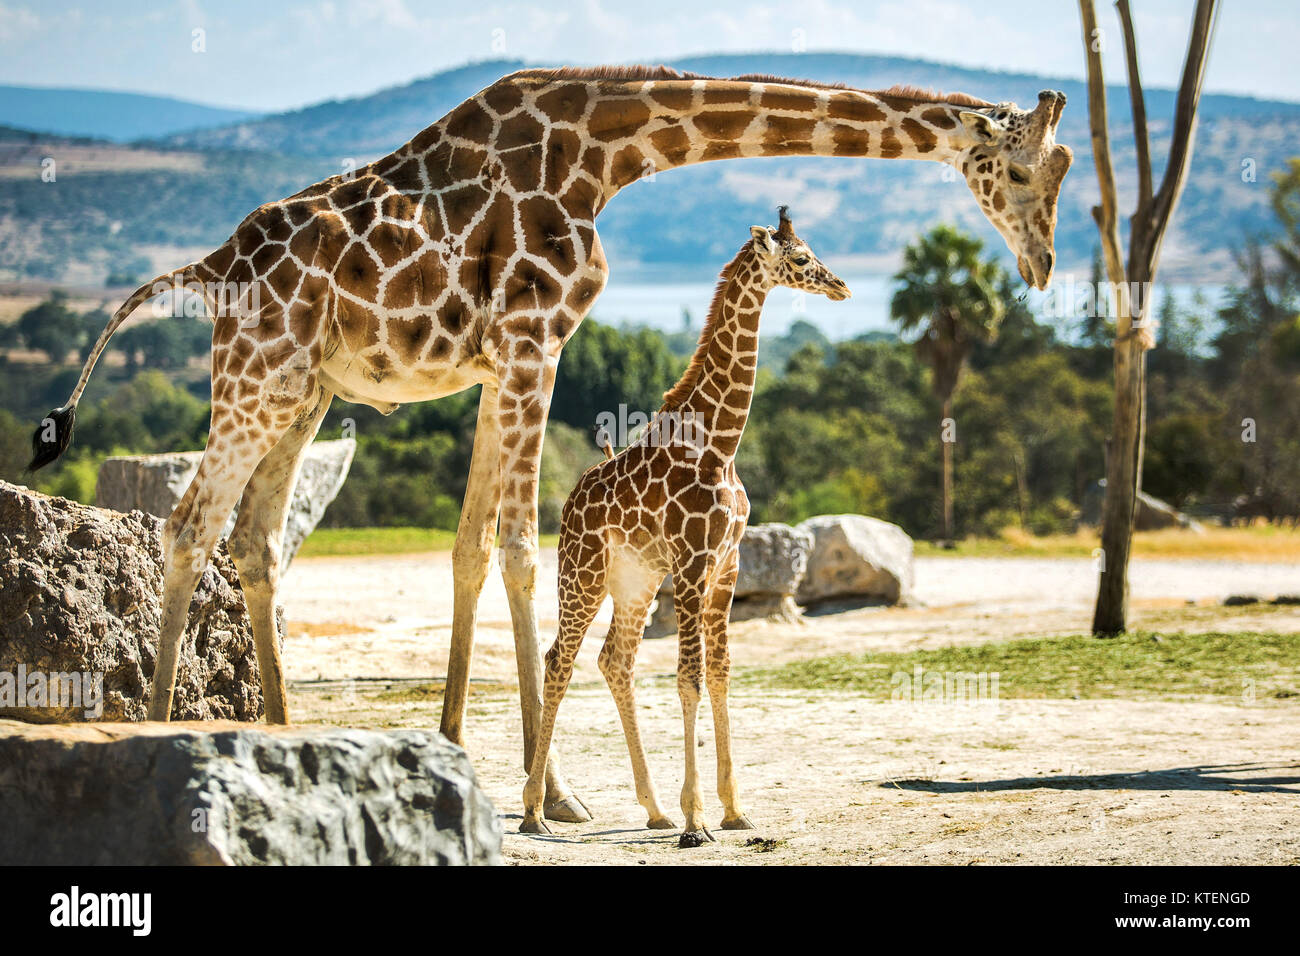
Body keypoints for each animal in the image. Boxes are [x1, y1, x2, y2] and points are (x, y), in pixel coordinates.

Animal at [521, 208, 849, 843]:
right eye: (800, 258)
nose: (842, 286)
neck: (720, 442)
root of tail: (570, 502)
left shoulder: (726, 566)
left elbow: (719, 673)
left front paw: (732, 809)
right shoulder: (694, 565)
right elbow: (689, 677)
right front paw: (698, 821)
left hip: (636, 580)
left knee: (613, 661)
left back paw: (653, 809)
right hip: (583, 573)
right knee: (559, 660)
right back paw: (533, 812)